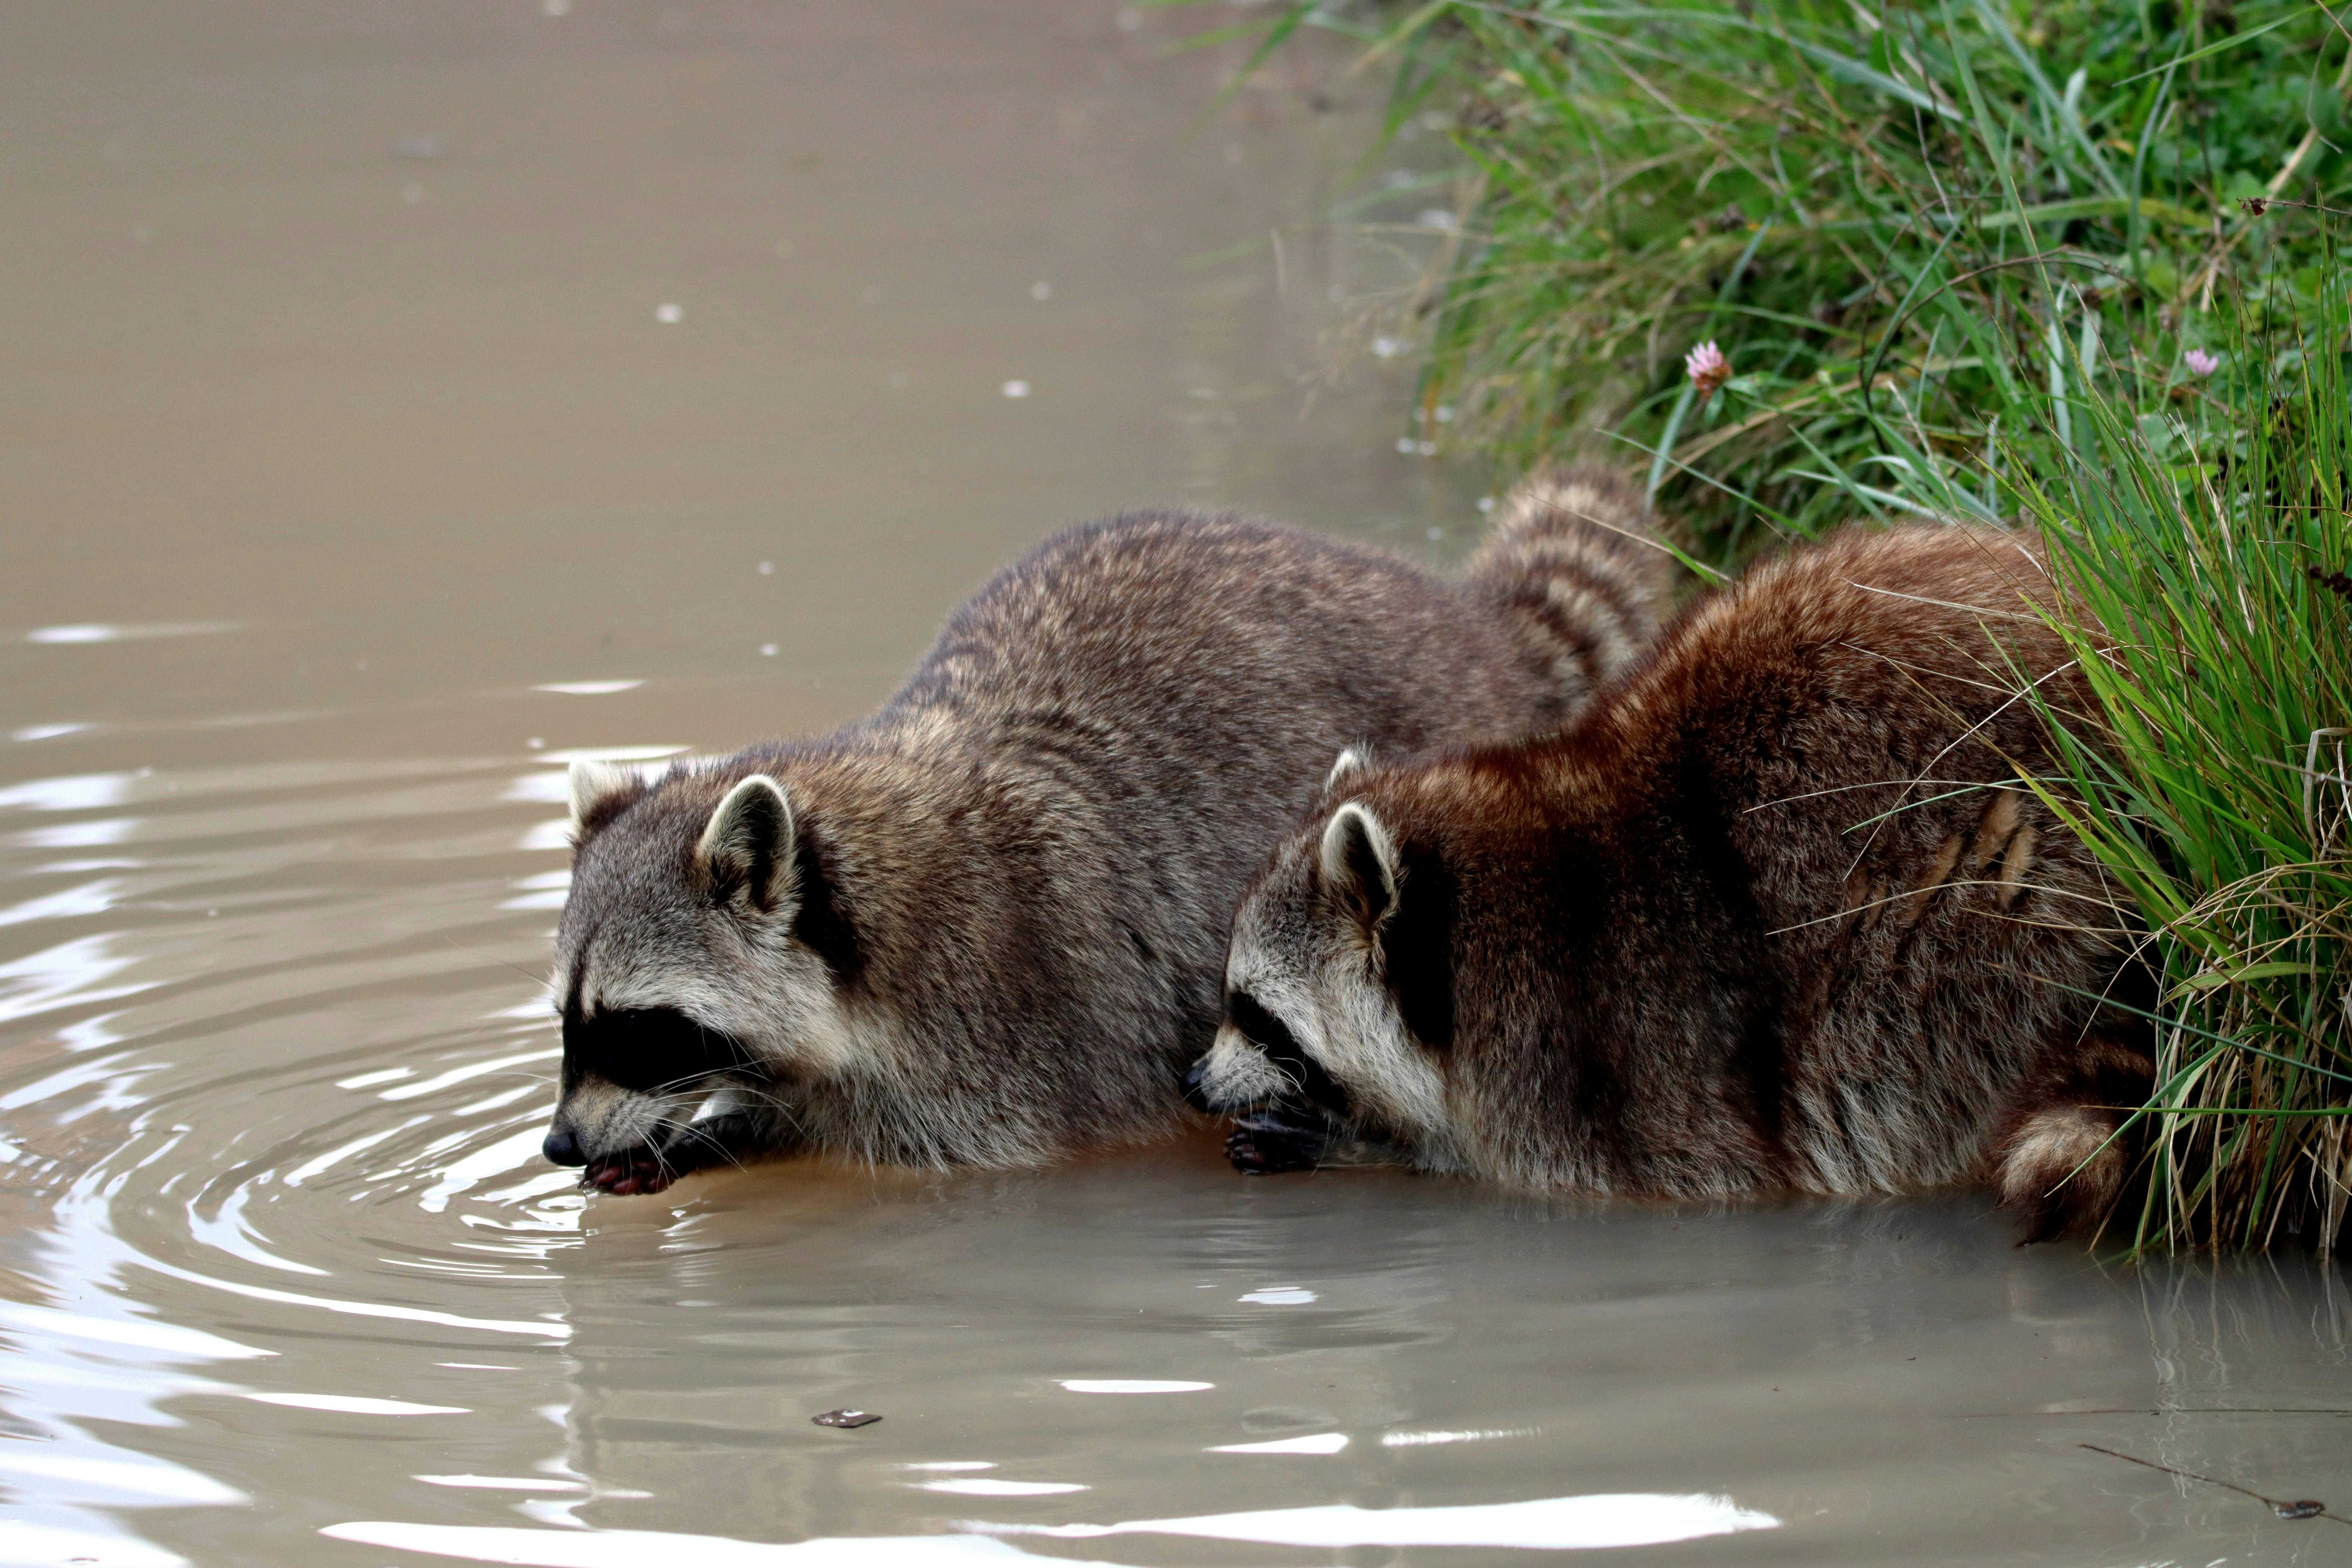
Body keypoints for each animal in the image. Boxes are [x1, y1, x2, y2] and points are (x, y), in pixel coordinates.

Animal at [542, 469, 1673, 1194]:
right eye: (566, 1020)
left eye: (636, 1027)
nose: (555, 1145)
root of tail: (1467, 628)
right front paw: (706, 1134)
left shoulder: (1008, 1040)